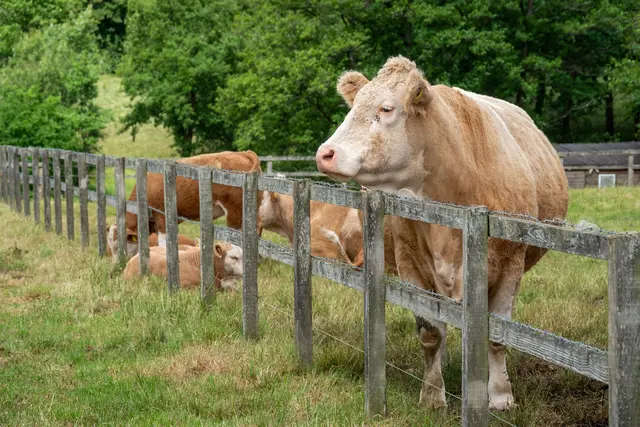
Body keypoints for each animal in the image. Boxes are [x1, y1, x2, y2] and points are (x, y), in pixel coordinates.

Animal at [315, 56, 568, 410]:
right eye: (354, 107)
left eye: (386, 108)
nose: (326, 153)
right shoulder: (410, 263)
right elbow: (430, 331)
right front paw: (433, 395)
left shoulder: (510, 264)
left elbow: (496, 335)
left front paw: (501, 396)